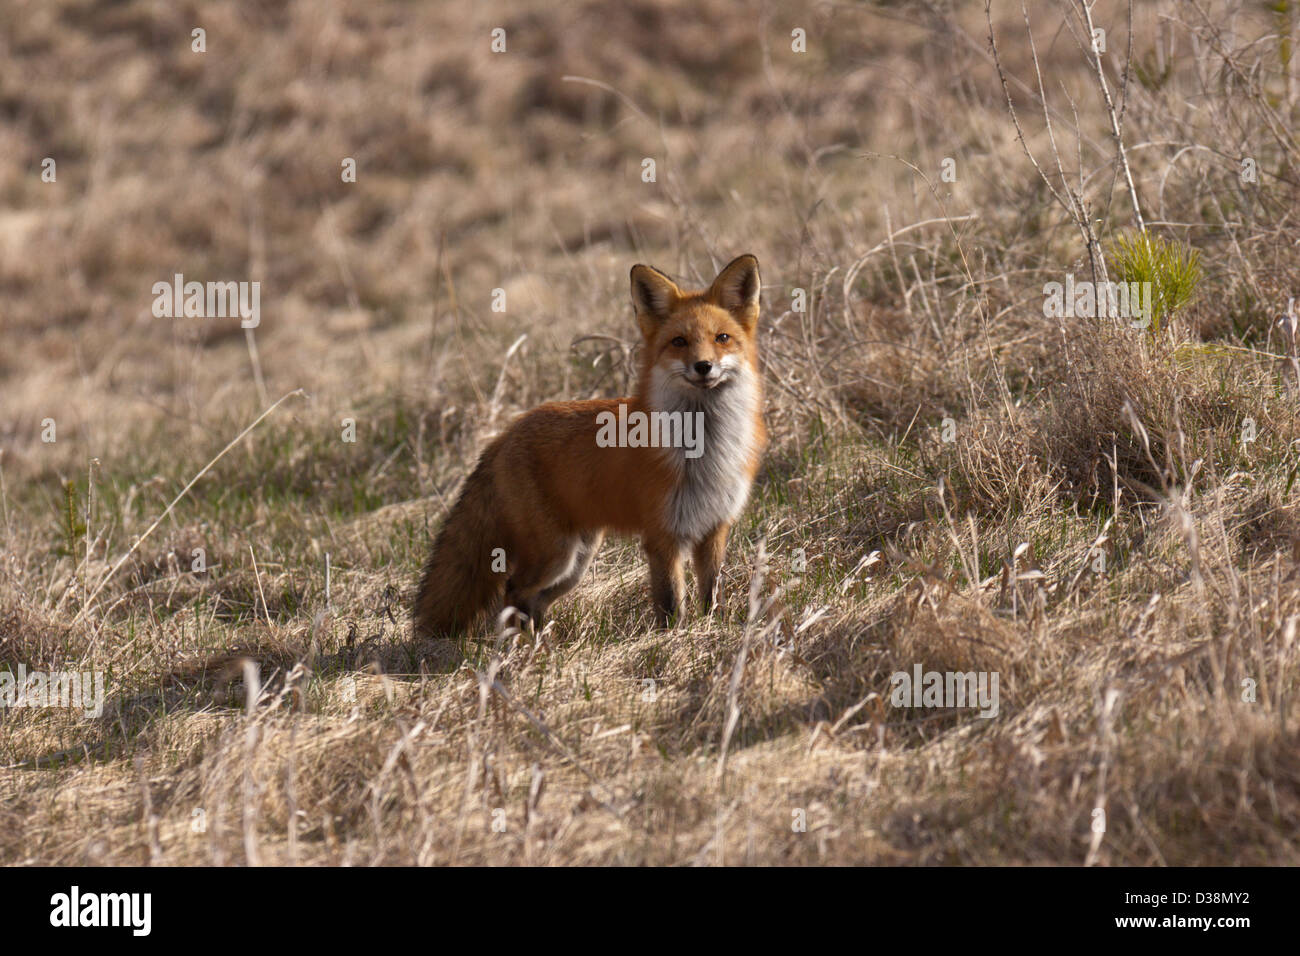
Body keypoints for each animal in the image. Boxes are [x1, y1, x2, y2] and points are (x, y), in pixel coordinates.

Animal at [412, 253, 767, 638]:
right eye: (679, 342)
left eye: (722, 338)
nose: (704, 366)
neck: (704, 447)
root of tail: (504, 435)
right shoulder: (663, 535)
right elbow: (671, 605)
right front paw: (672, 641)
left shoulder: (715, 528)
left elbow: (711, 595)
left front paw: (715, 630)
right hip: (556, 554)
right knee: (513, 590)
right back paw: (524, 648)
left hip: (576, 561)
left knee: (533, 600)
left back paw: (541, 646)